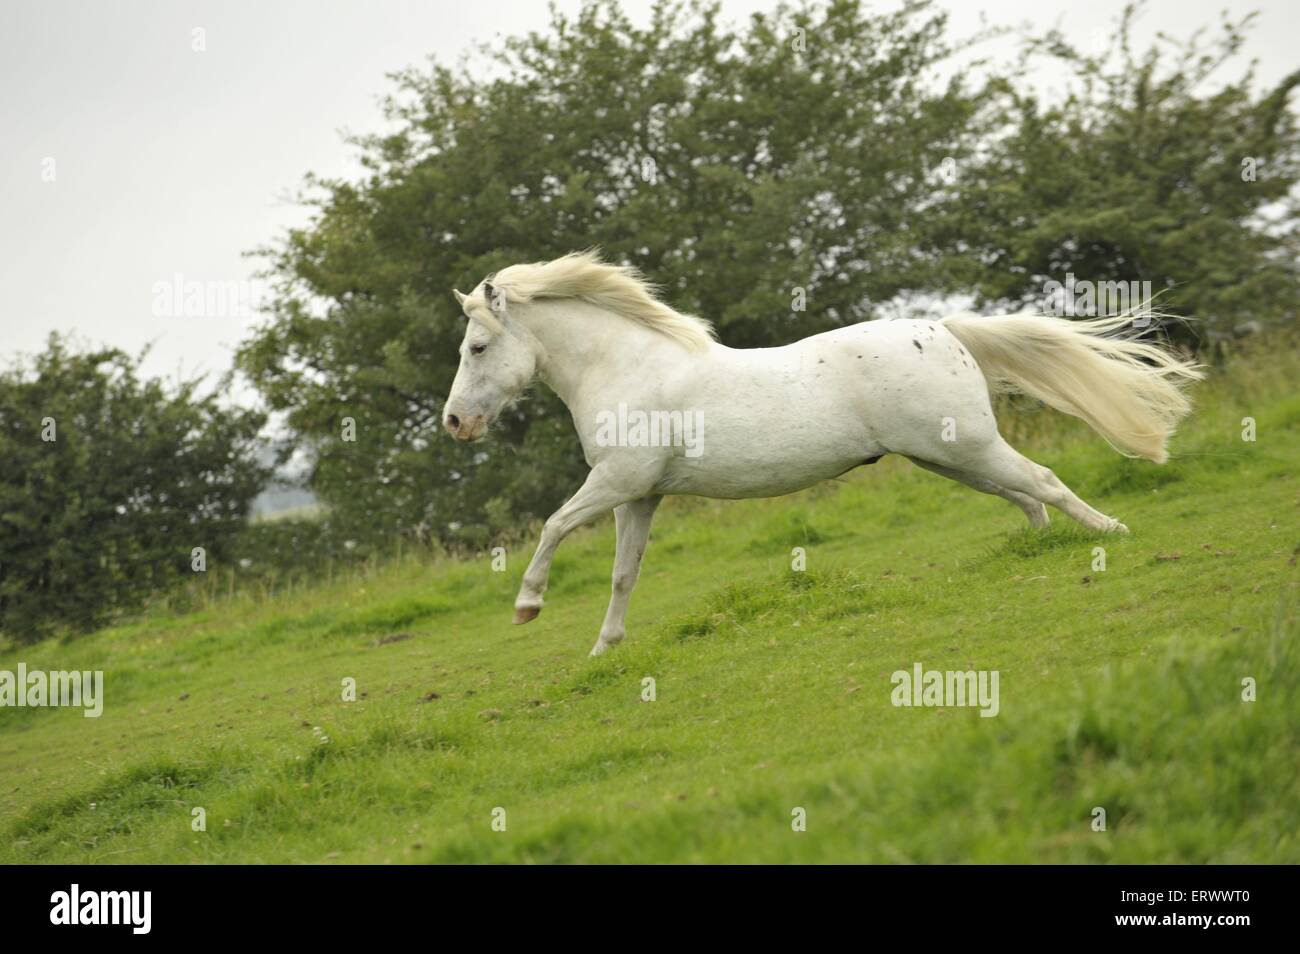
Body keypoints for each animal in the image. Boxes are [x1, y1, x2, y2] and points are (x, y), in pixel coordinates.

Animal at [443, 251, 1202, 656]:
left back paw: (1113, 535)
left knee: (1042, 482)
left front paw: (527, 606)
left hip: (967, 447)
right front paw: (604, 650)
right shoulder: (641, 495)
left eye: (477, 348)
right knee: (1024, 496)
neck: (628, 367)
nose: (455, 423)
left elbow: (553, 526)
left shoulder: (616, 481)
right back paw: (1042, 549)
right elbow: (623, 575)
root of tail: (943, 329)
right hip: (949, 457)